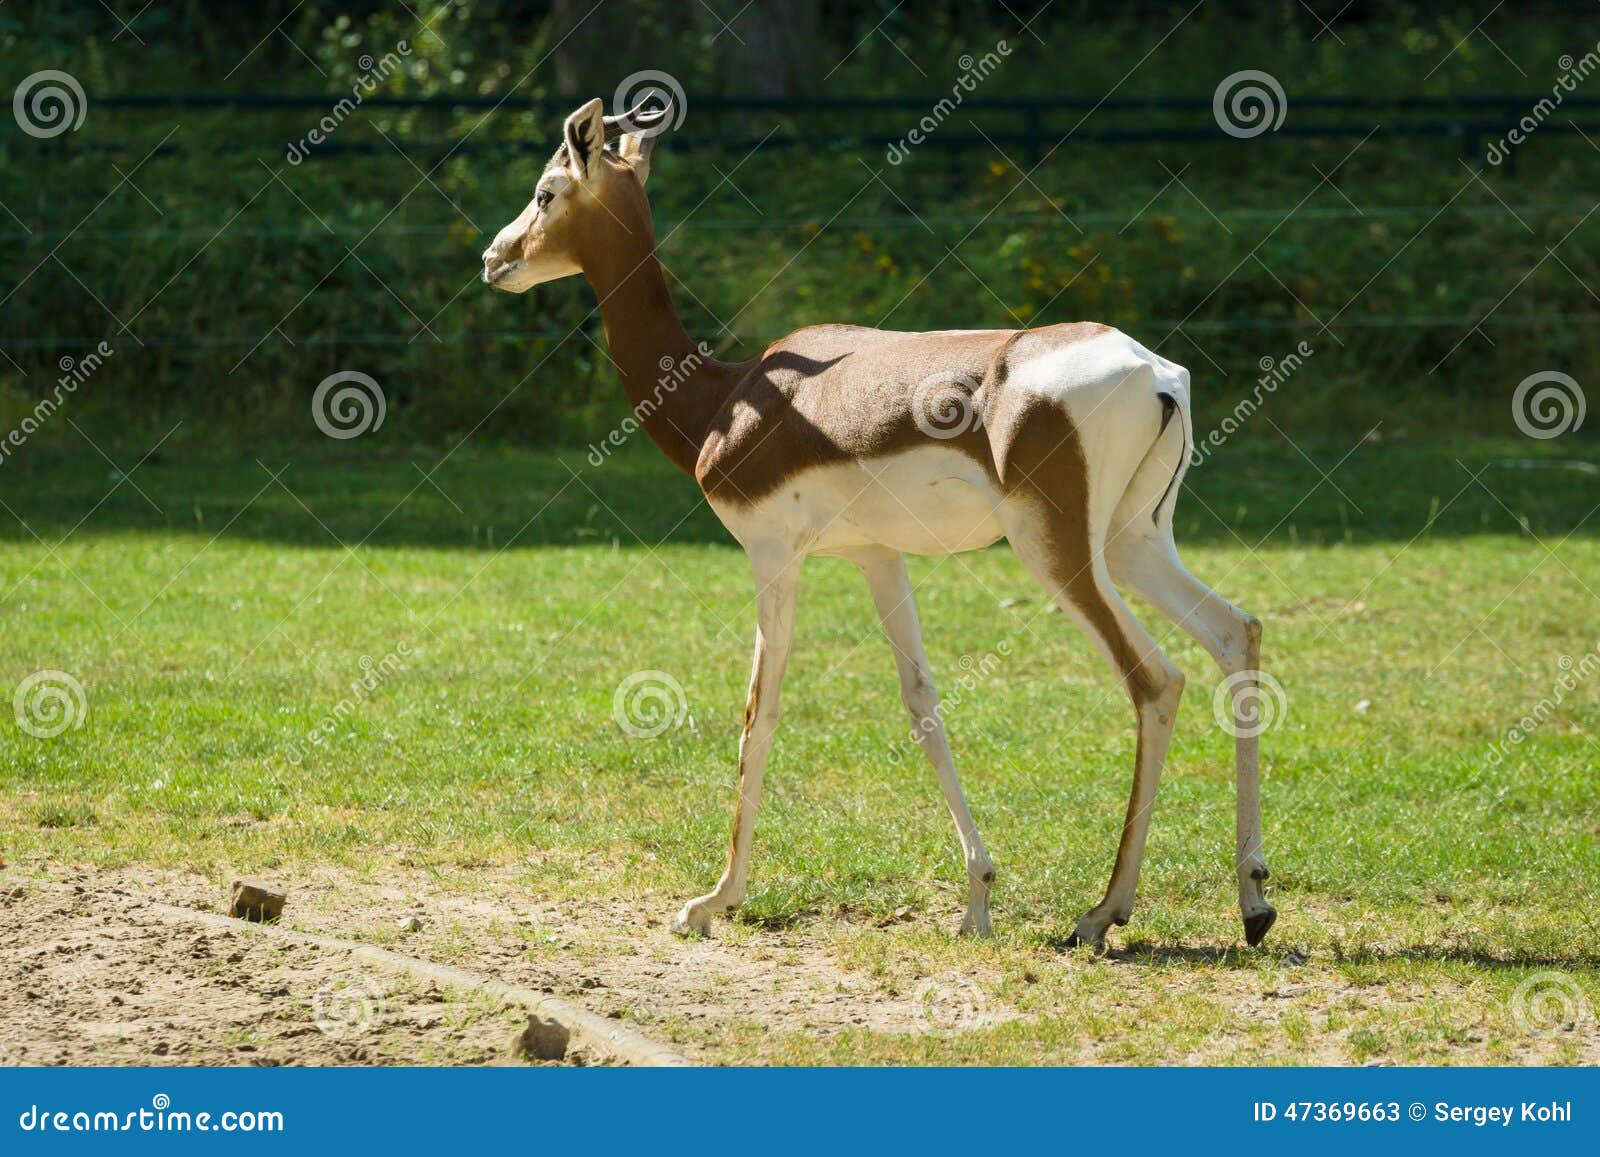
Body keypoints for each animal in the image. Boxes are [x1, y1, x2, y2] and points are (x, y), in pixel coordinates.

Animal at [482, 96, 1276, 951]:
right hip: (1133, 542)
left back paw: (1103, 911)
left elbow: (759, 712)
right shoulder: (876, 555)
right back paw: (1254, 902)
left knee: (1156, 679)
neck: (724, 399)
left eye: (546, 191)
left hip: (1056, 551)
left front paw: (714, 899)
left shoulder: (773, 554)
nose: (495, 257)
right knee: (1235, 632)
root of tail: (1153, 371)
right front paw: (977, 895)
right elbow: (922, 701)